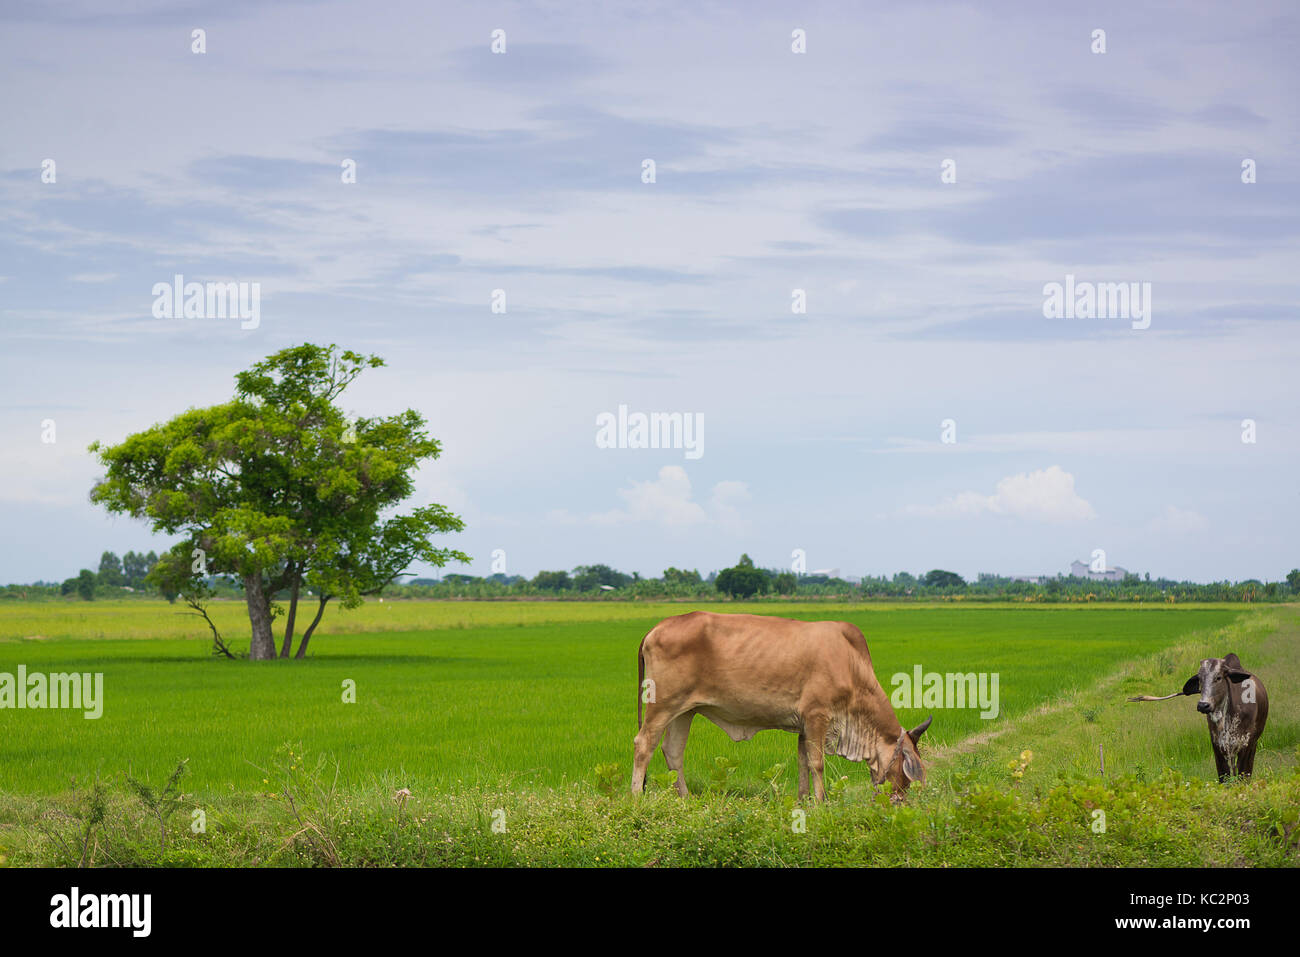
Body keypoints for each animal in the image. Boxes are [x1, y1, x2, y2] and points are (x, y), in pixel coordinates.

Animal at [631, 611, 931, 802]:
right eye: (905, 775)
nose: (898, 802)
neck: (851, 665)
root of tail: (656, 628)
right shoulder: (817, 715)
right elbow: (817, 763)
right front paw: (821, 802)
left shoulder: (804, 726)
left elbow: (803, 762)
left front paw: (803, 800)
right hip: (661, 705)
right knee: (644, 744)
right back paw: (636, 798)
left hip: (684, 711)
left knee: (673, 751)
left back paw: (685, 799)